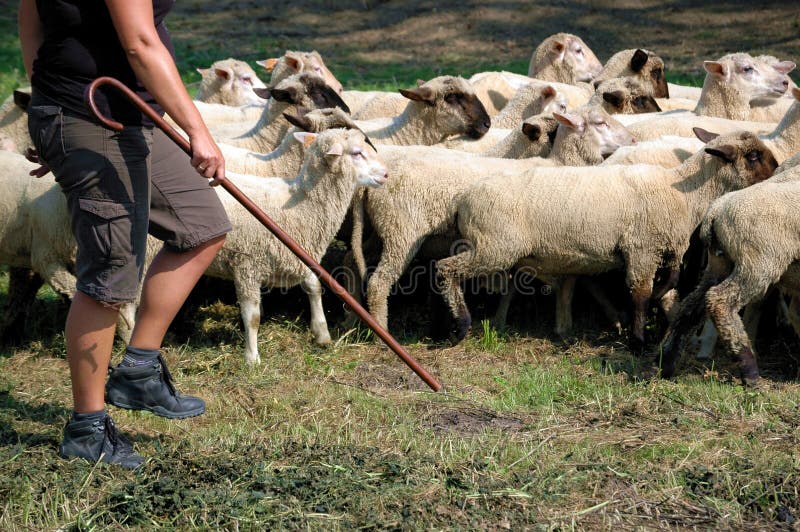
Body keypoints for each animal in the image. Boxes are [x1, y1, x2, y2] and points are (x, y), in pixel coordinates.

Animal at [349, 105, 635, 332]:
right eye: (600, 122)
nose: (633, 139)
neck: (559, 163)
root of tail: (376, 179)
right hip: (402, 233)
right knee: (379, 282)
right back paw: (381, 330)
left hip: (380, 231)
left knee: (351, 263)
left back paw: (353, 319)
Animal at [435, 129, 777, 346]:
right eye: (753, 156)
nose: (777, 172)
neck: (682, 193)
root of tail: (463, 200)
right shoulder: (641, 248)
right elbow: (641, 294)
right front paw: (638, 340)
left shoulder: (661, 250)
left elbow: (670, 290)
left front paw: (665, 330)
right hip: (494, 247)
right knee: (444, 268)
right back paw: (460, 325)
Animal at [658, 165, 800, 386]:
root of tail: (715, 211)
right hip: (757, 262)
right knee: (720, 302)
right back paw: (750, 372)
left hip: (719, 264)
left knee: (691, 306)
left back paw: (666, 364)